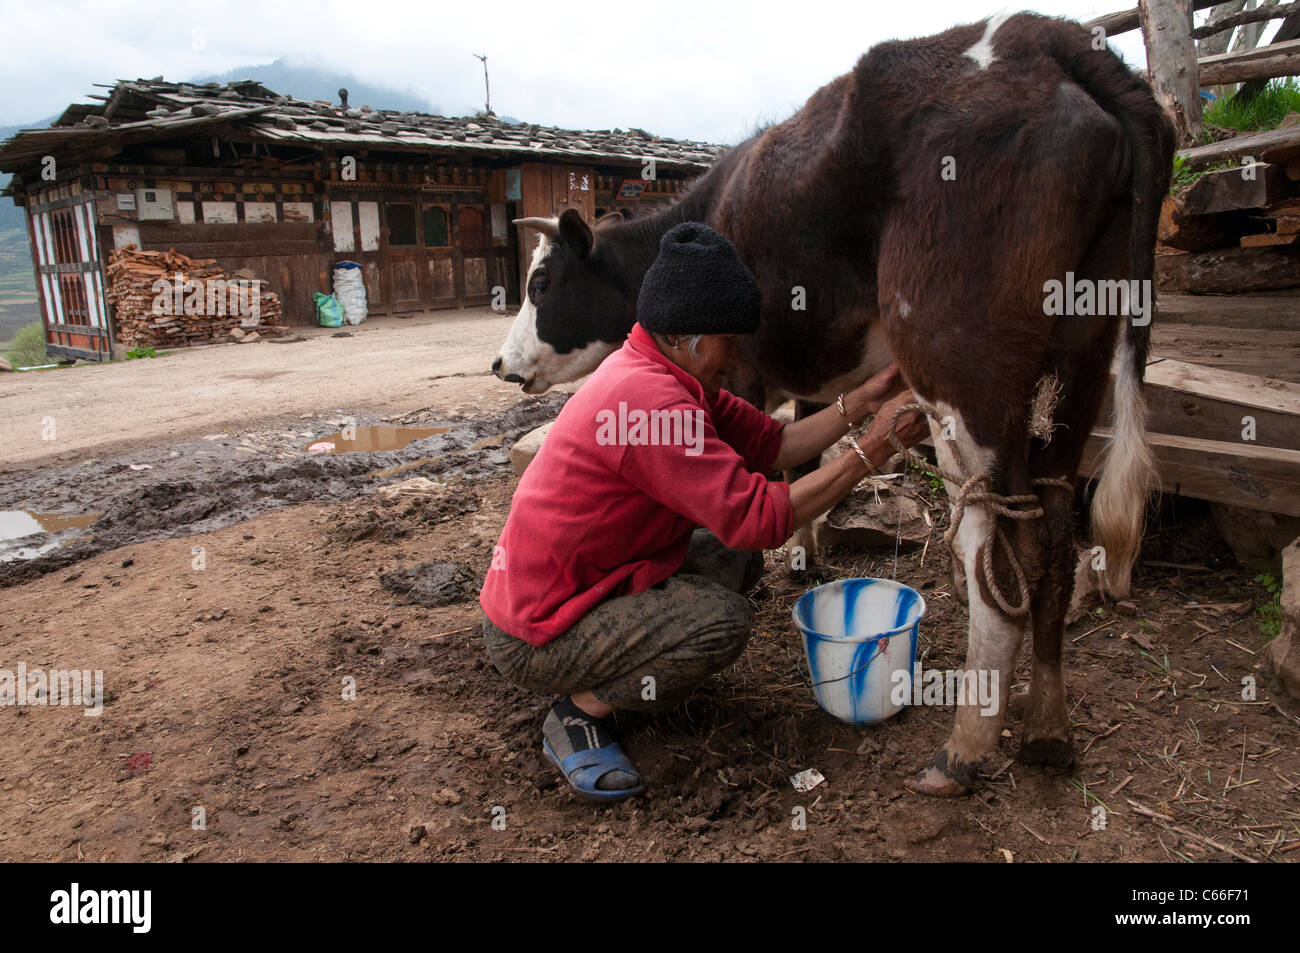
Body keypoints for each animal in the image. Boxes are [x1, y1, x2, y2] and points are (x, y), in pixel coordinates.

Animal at [490, 11, 1175, 796]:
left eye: (541, 284)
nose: (500, 364)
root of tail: (1048, 36)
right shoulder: (804, 380)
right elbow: (800, 459)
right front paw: (804, 555)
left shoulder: (741, 370)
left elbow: (757, 480)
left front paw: (752, 567)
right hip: (1082, 356)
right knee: (1057, 537)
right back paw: (1047, 733)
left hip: (963, 369)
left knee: (995, 558)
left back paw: (965, 745)